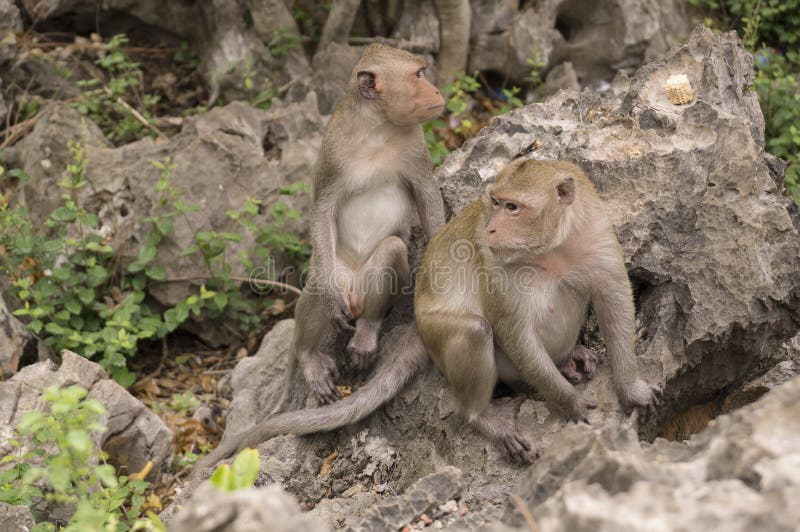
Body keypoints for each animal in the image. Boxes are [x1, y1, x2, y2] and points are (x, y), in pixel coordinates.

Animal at [194, 159, 657, 471]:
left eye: (513, 207)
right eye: (495, 203)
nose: (492, 228)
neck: (553, 248)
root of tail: (416, 325)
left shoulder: (595, 231)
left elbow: (614, 296)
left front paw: (630, 387)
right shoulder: (496, 264)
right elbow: (512, 329)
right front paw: (568, 400)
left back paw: (568, 359)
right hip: (443, 337)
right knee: (474, 332)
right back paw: (483, 415)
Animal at [288, 43, 446, 406]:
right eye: (417, 75)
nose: (435, 90)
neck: (378, 130)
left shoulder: (415, 145)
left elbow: (427, 196)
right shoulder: (332, 151)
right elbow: (321, 210)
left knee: (391, 250)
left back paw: (367, 332)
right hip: (342, 278)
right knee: (320, 277)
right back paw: (308, 356)